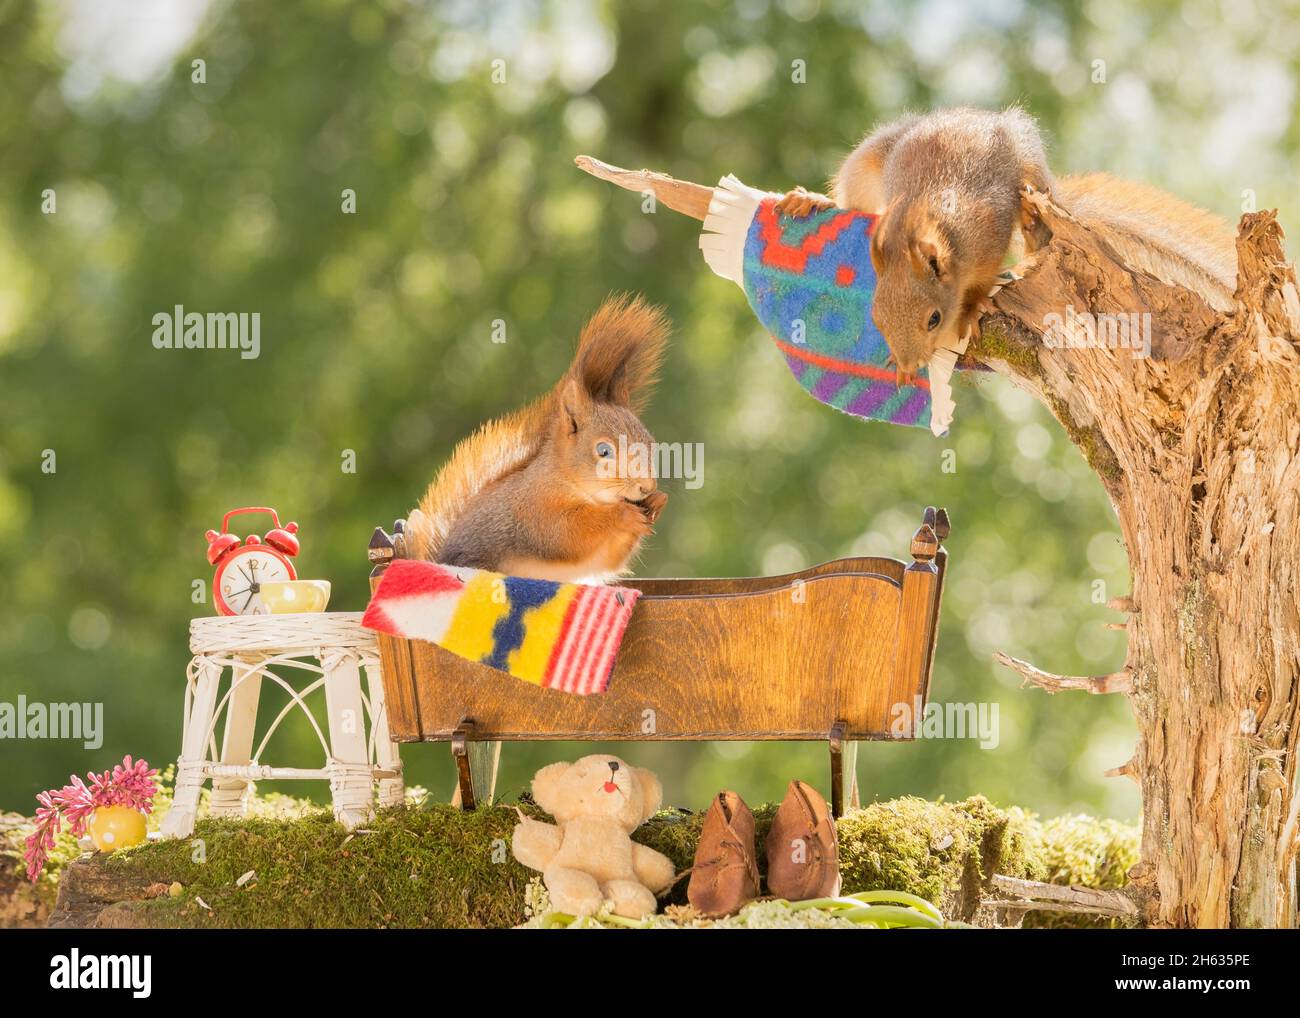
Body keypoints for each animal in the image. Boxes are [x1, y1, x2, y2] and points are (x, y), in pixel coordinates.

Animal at [402, 294, 671, 584]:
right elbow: (566, 533)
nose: (647, 486)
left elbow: (609, 558)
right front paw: (623, 515)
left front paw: (657, 502)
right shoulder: (535, 510)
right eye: (603, 450)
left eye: (651, 443)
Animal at [775, 105, 1238, 377]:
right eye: (877, 319)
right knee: (850, 198)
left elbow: (982, 283)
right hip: (870, 158)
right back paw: (812, 200)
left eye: (934, 320)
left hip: (1029, 168)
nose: (911, 363)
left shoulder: (988, 239)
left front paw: (972, 310)